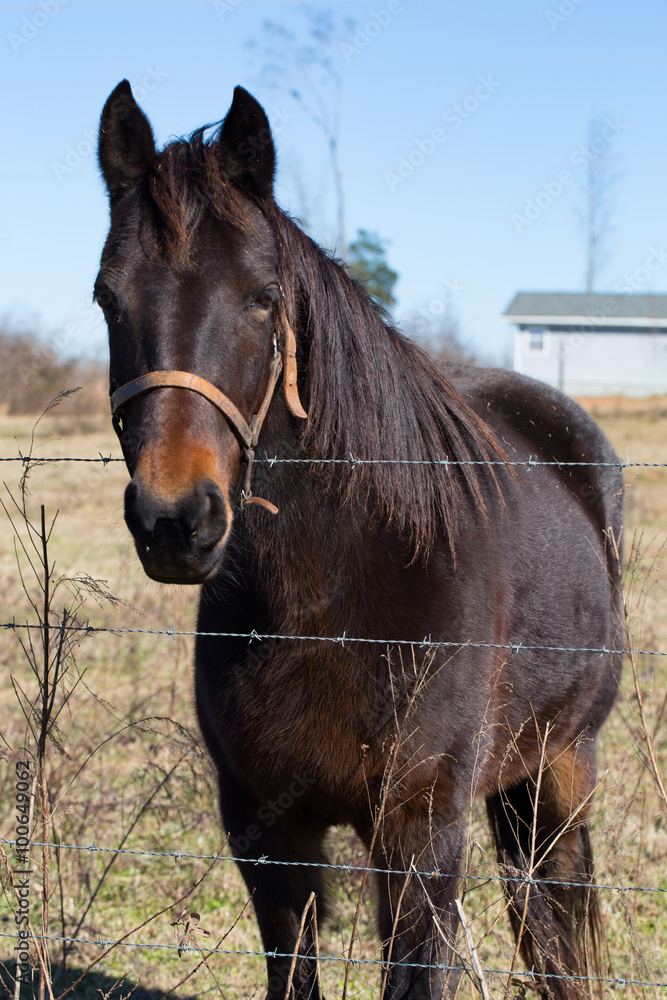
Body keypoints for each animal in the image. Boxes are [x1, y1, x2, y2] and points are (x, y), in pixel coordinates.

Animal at [96, 80, 623, 1000]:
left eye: (262, 298)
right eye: (107, 297)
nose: (174, 521)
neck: (329, 594)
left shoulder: (418, 832)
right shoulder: (268, 836)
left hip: (562, 765)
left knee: (554, 923)